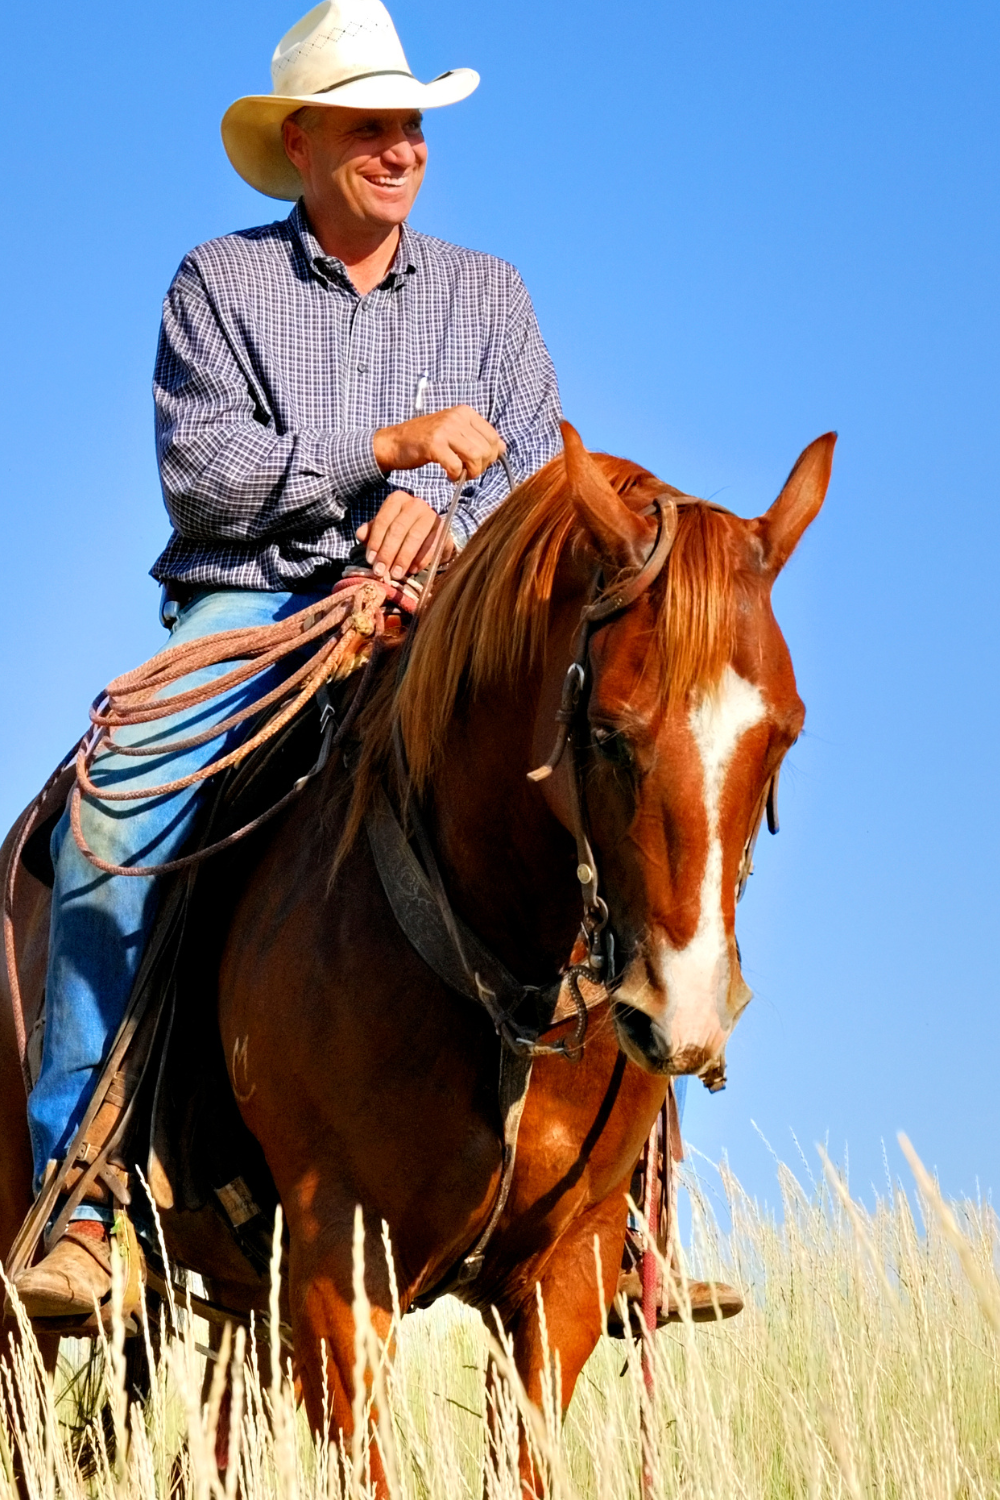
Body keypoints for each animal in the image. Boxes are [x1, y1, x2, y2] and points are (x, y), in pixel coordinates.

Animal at [0, 422, 834, 1491]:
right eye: (608, 732)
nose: (682, 1019)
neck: (506, 990)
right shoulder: (339, 1271)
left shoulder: (562, 1279)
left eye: (783, 736)